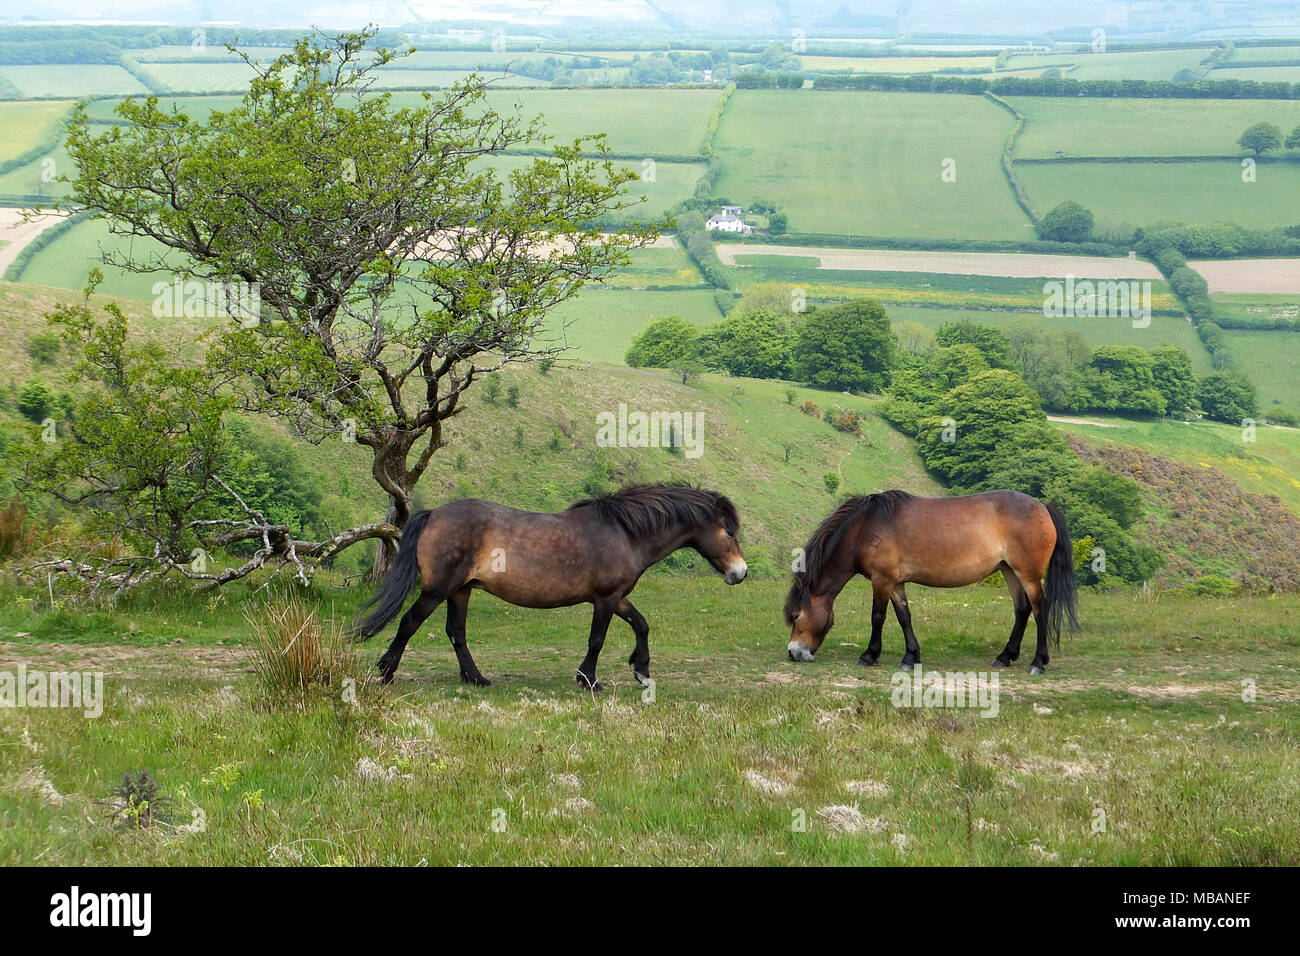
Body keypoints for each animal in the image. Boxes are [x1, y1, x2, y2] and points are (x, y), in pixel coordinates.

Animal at [352, 484, 747, 689]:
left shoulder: (617, 598)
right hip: (437, 590)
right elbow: (597, 639)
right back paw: (386, 672)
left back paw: (475, 678)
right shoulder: (605, 600)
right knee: (409, 623)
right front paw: (588, 679)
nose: (740, 573)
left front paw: (642, 669)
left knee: (456, 632)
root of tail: (434, 513)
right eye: (728, 531)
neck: (624, 532)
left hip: (460, 591)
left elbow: (642, 624)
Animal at [784, 489, 1078, 674]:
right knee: (1022, 610)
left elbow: (878, 617)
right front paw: (910, 657)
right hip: (1009, 571)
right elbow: (904, 617)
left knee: (1039, 611)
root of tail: (1043, 508)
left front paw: (869, 655)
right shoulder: (895, 583)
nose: (793, 653)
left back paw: (1038, 662)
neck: (867, 527)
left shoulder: (882, 580)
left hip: (1028, 574)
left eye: (797, 615)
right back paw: (1005, 656)